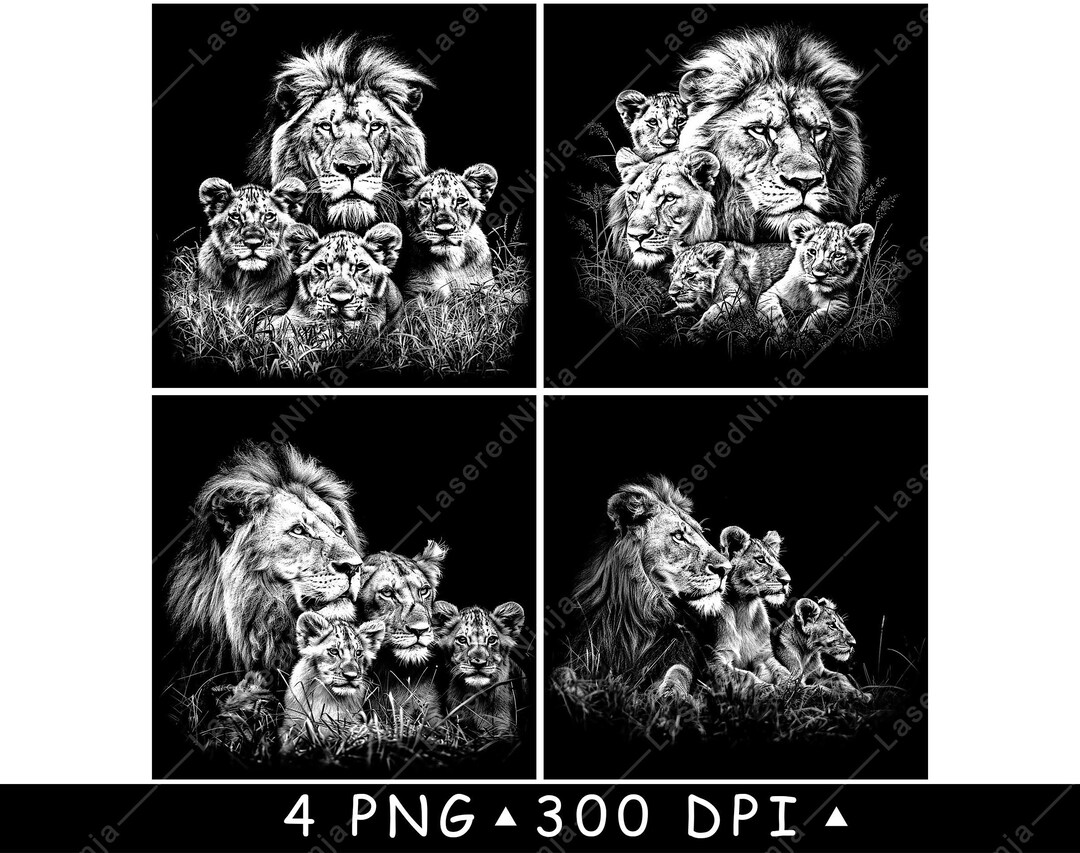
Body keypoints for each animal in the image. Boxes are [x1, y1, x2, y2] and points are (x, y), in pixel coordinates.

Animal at [403, 164, 499, 301]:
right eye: (427, 201)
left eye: (460, 201)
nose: (445, 230)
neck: (450, 263)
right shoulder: (415, 291)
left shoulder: (487, 287)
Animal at [563, 475, 729, 699]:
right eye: (678, 536)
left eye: (702, 534)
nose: (726, 569)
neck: (638, 618)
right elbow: (564, 671)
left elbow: (679, 671)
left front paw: (672, 695)